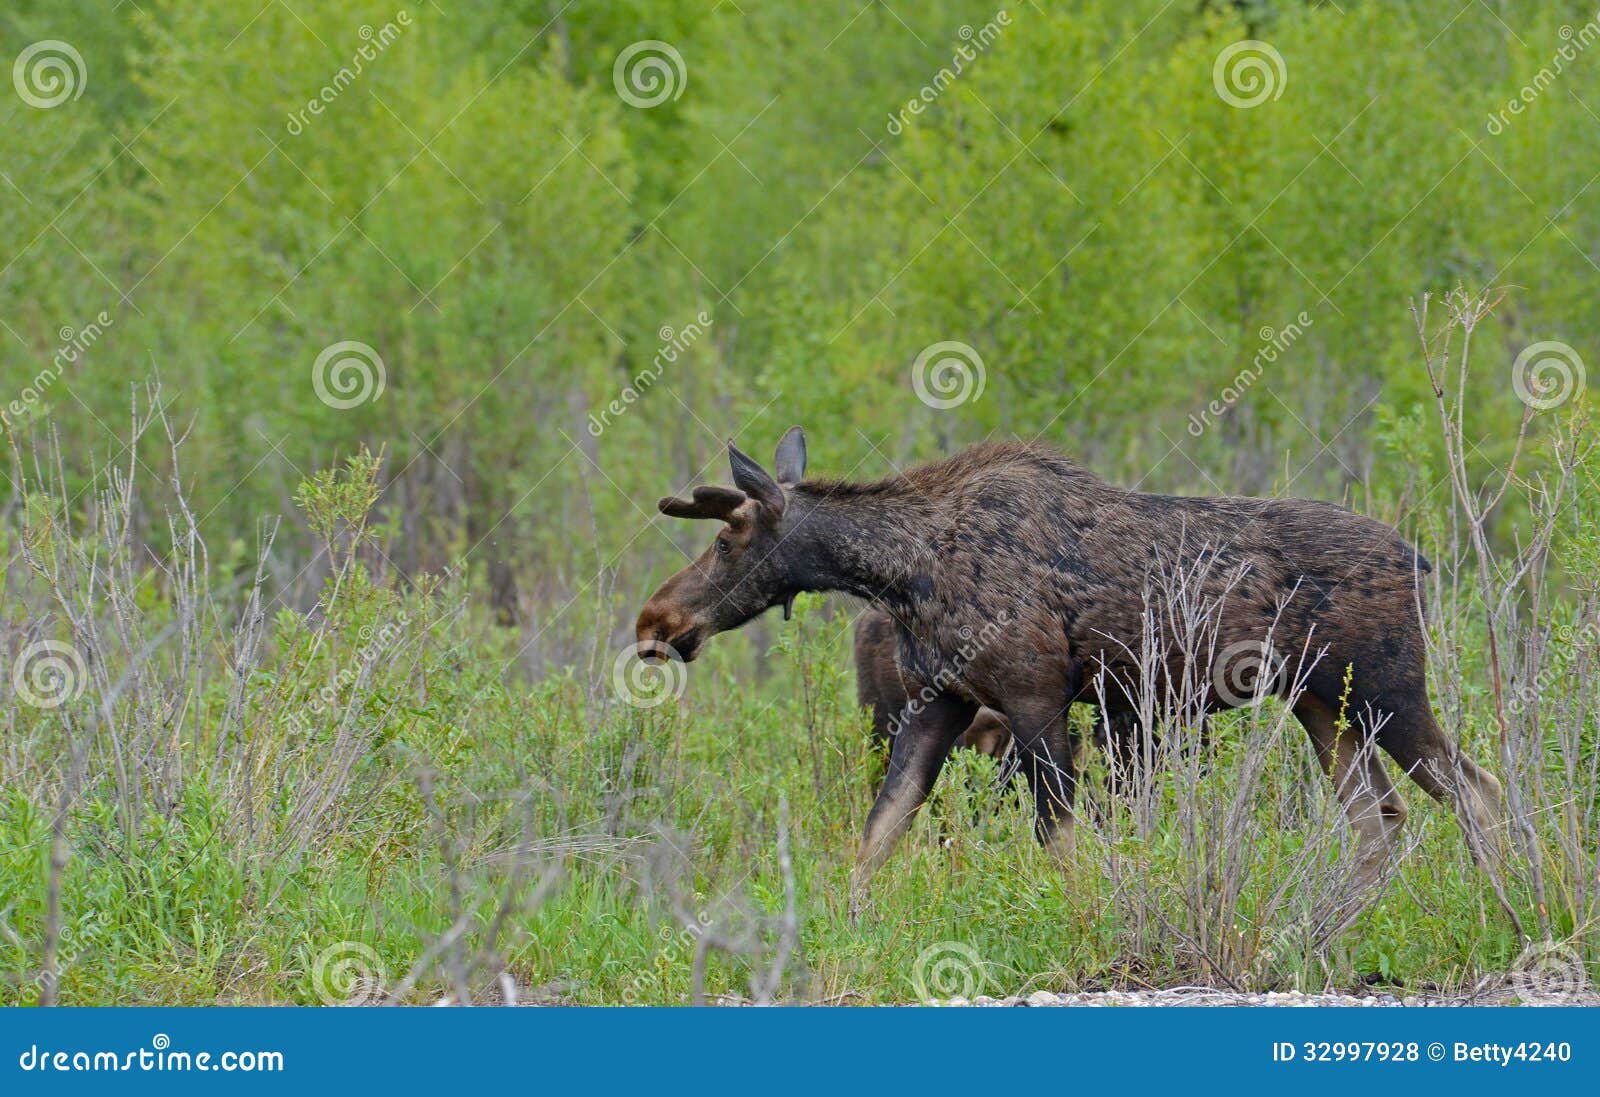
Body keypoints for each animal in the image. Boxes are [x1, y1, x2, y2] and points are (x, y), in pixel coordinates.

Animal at [635, 427, 1504, 916]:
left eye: (726, 540)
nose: (654, 622)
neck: (903, 574)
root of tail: (1420, 558)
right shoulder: (940, 703)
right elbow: (876, 837)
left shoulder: (1034, 697)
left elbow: (1060, 839)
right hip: (1321, 704)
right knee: (1381, 818)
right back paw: (1318, 930)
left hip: (1391, 689)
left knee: (1477, 789)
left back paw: (1508, 908)